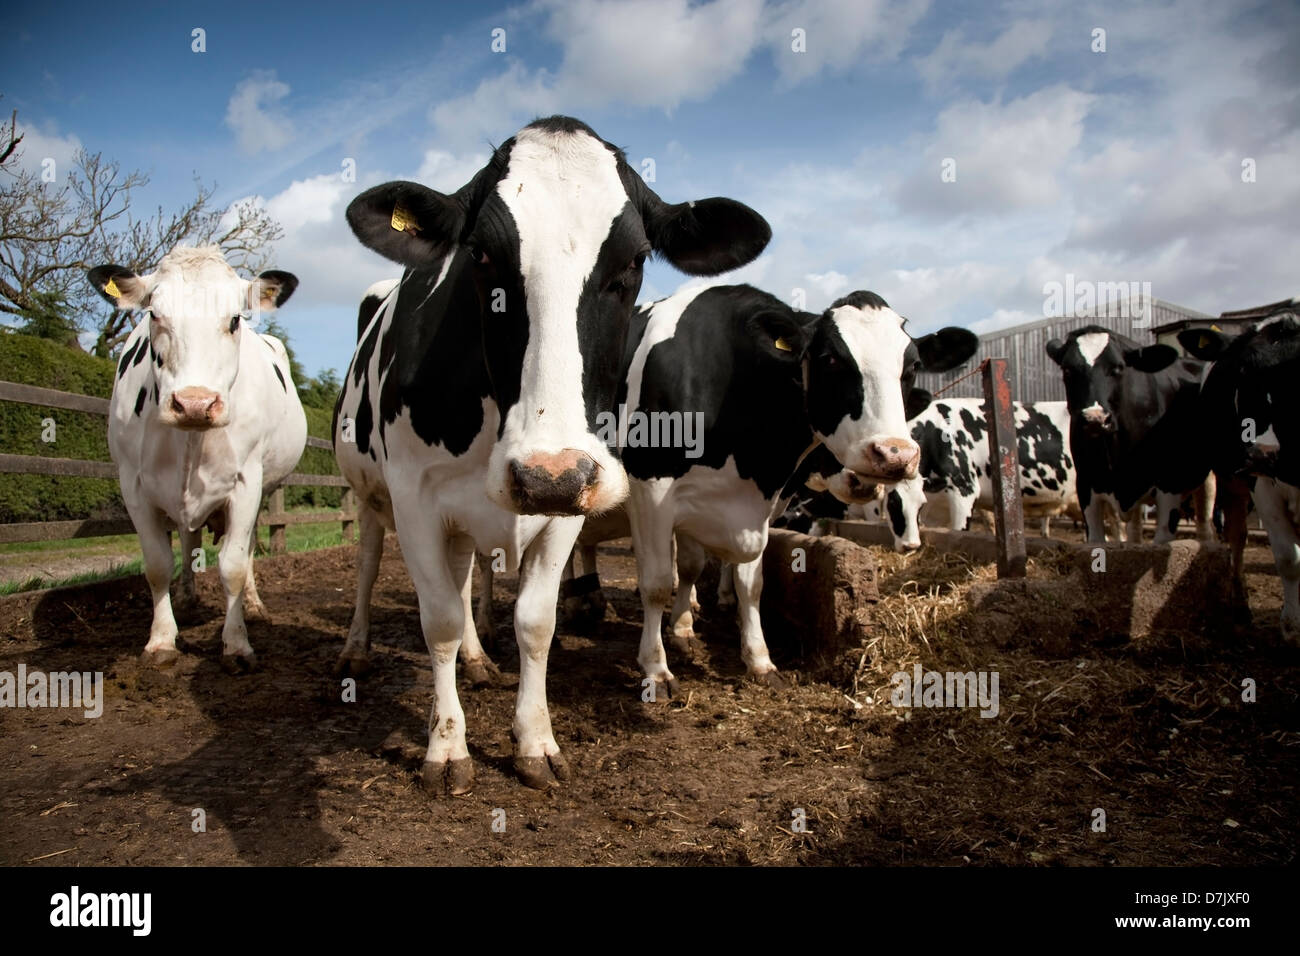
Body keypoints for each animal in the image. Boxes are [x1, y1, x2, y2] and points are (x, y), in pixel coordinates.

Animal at [87, 246, 305, 669]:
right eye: (154, 314)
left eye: (235, 319)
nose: (195, 403)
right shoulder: (133, 484)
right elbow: (158, 565)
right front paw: (161, 640)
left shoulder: (246, 483)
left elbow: (233, 566)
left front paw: (236, 643)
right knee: (188, 541)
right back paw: (187, 600)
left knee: (246, 548)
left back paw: (253, 605)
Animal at [331, 116, 771, 793]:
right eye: (481, 255)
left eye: (635, 260)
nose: (545, 475)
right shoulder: (414, 497)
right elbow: (439, 621)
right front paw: (446, 746)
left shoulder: (569, 499)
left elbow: (536, 622)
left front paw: (534, 740)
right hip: (371, 496)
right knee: (370, 565)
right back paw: (357, 647)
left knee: (465, 578)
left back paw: (479, 661)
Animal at [618, 286, 976, 693]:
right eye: (831, 358)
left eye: (912, 365)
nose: (894, 454)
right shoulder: (650, 488)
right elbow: (657, 582)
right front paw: (655, 668)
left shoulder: (755, 504)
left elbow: (750, 583)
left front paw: (758, 659)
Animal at [1045, 325, 1217, 544]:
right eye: (1067, 369)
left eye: (1118, 368)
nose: (1095, 419)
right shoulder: (1086, 485)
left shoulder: (1168, 487)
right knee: (1135, 531)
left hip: (1208, 480)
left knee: (1205, 526)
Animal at [1177, 304, 1300, 639]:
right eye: (1243, 372)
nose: (1262, 453)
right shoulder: (1264, 487)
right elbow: (1289, 558)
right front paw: (1292, 627)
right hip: (1231, 482)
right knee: (1237, 536)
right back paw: (1241, 608)